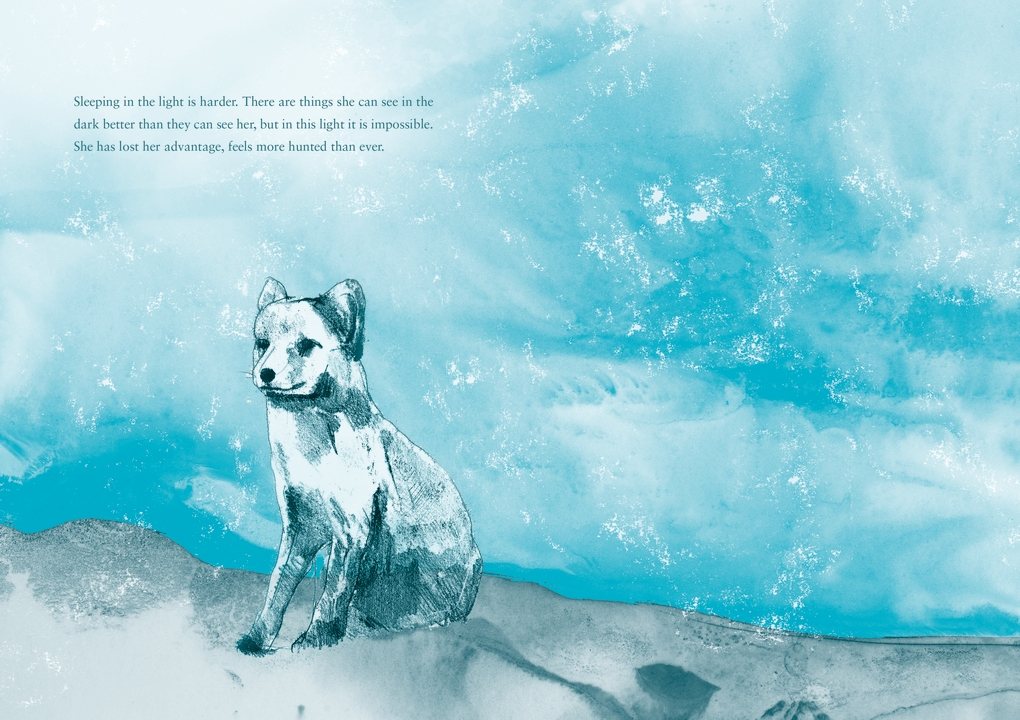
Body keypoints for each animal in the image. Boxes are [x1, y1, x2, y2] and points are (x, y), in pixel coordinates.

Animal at [236, 277, 482, 654]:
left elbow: (332, 593)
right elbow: (278, 589)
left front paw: (315, 641)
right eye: (262, 343)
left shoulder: (352, 528)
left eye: (305, 345)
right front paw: (256, 640)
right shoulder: (301, 525)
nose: (265, 373)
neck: (312, 458)